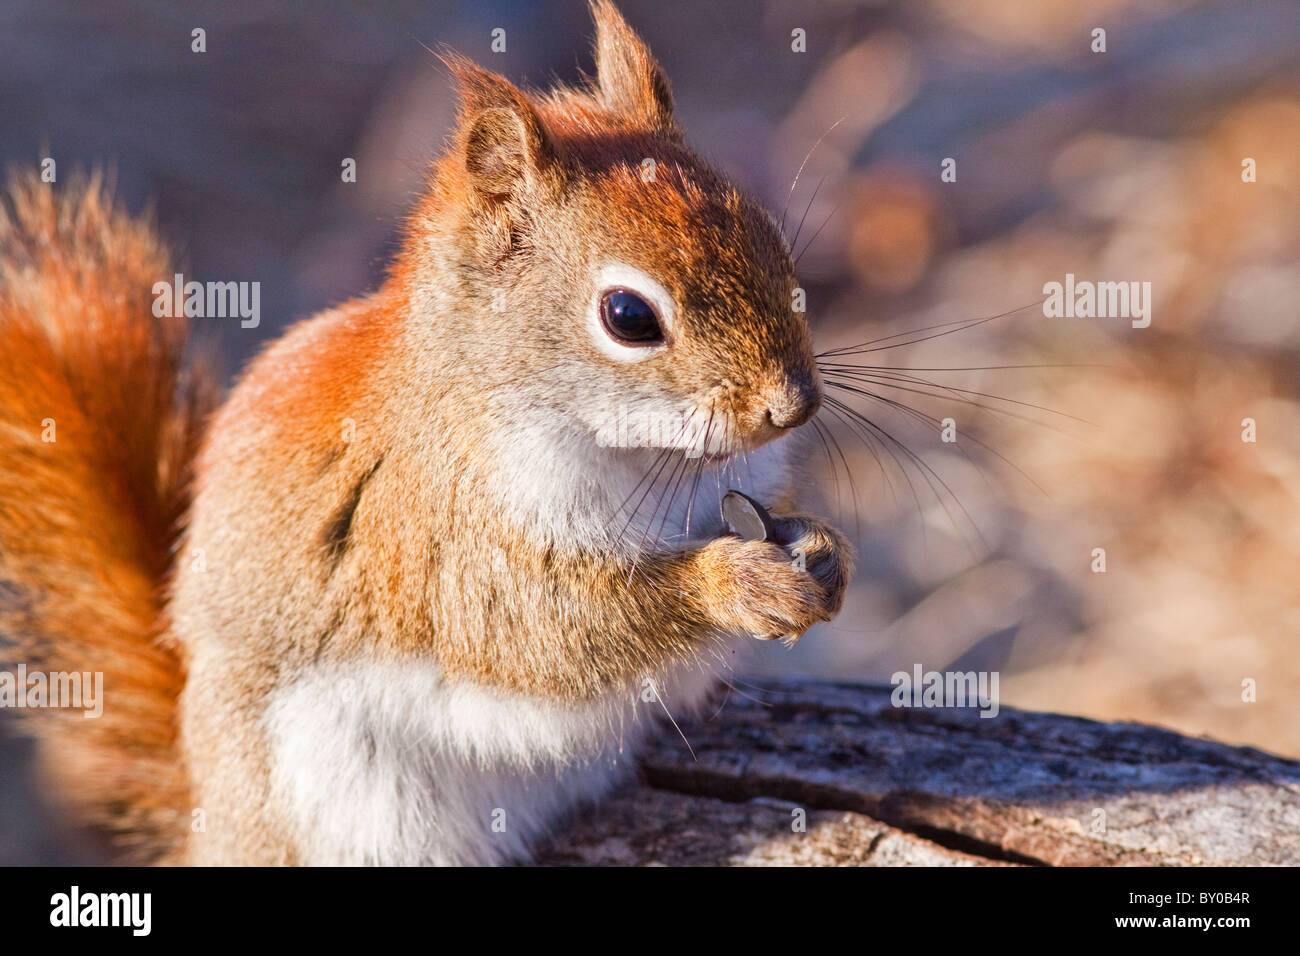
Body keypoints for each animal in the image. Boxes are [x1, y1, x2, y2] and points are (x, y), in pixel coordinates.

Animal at [0, 0, 852, 865]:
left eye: (767, 234)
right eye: (628, 316)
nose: (793, 405)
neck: (645, 451)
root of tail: (216, 818)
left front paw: (826, 552)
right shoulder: (433, 525)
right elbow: (540, 627)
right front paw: (734, 583)